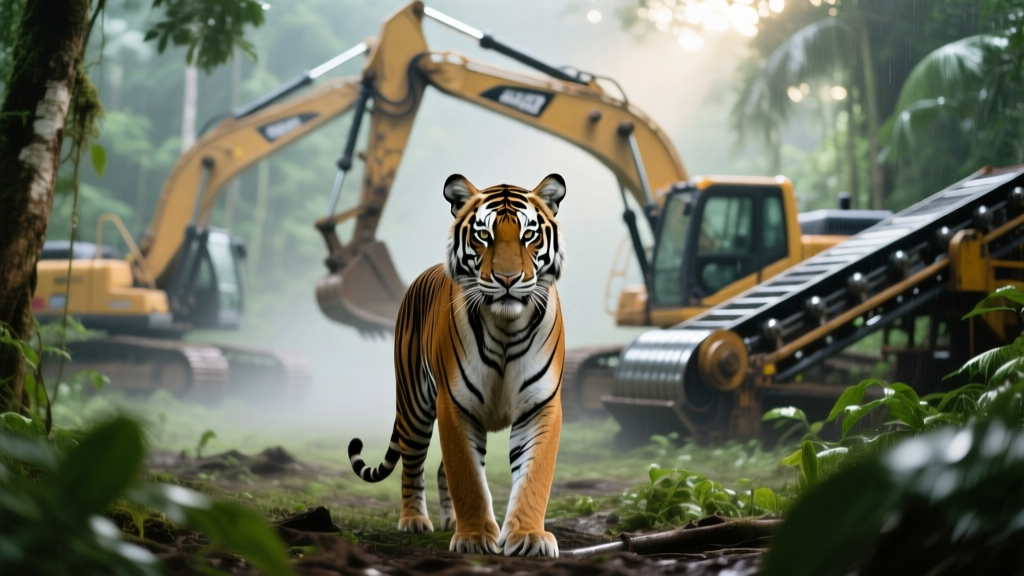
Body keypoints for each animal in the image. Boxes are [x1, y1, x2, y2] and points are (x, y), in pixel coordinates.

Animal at [347, 173, 567, 558]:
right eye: (484, 235)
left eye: (529, 235)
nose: (507, 279)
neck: (505, 327)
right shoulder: (454, 405)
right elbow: (467, 476)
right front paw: (475, 538)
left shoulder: (541, 405)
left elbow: (533, 476)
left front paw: (529, 537)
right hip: (415, 406)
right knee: (413, 464)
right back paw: (414, 521)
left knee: (437, 470)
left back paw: (449, 520)